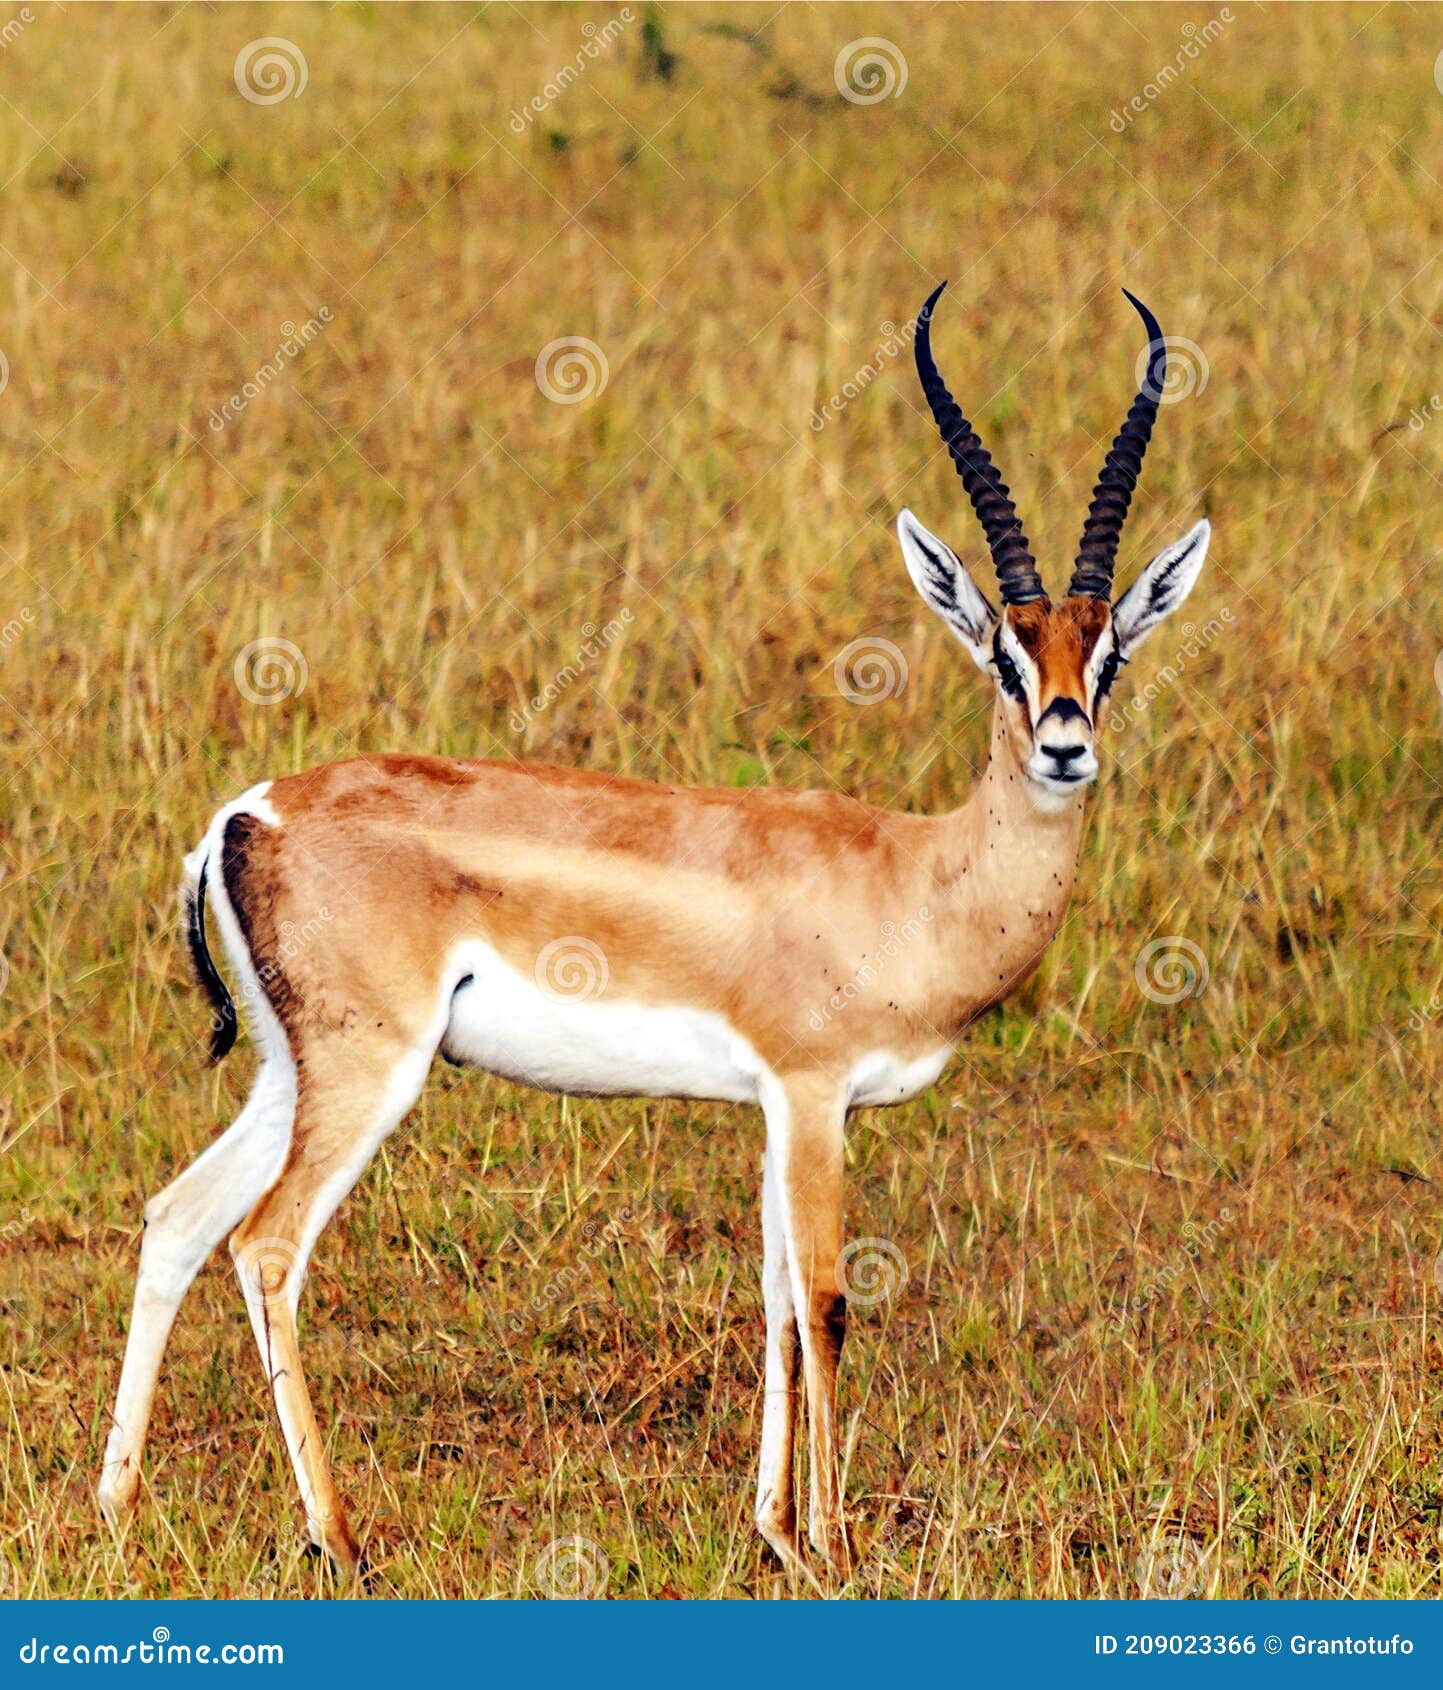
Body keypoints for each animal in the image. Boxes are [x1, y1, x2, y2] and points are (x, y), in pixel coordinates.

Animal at [99, 281, 1210, 1582]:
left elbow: (774, 1297)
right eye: (1001, 655)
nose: (1066, 744)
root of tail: (246, 810)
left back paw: (117, 1504)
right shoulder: (813, 1092)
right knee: (266, 1246)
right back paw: (339, 1536)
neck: (911, 877)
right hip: (370, 1071)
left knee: (178, 1217)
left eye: (1111, 652)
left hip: (292, 1069)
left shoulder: (778, 1108)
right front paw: (836, 1550)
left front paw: (777, 1535)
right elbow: (826, 1299)